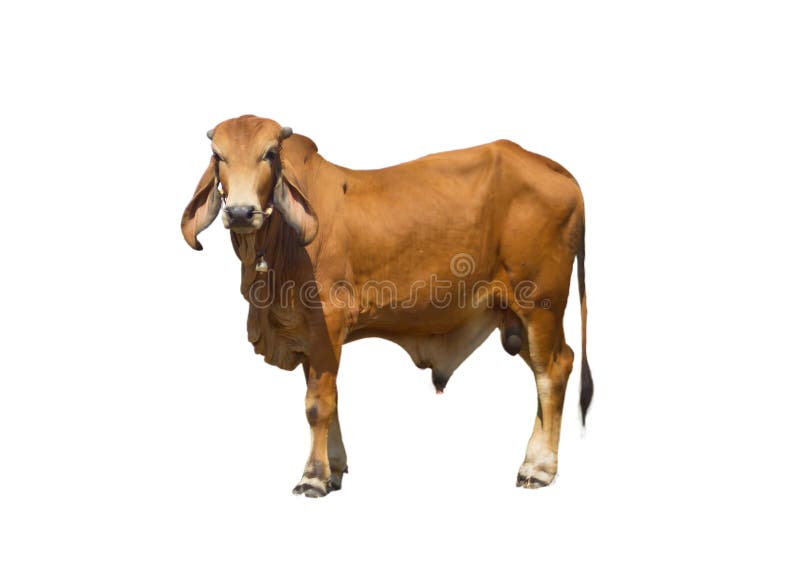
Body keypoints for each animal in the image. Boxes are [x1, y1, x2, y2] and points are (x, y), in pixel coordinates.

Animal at [181, 115, 593, 497]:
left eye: (269, 153)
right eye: (218, 155)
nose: (240, 212)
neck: (279, 244)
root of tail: (554, 169)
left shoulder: (327, 323)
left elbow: (318, 404)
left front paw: (313, 477)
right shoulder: (307, 337)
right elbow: (331, 400)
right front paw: (333, 469)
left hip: (540, 303)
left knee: (553, 371)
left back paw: (539, 468)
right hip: (514, 316)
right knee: (547, 370)